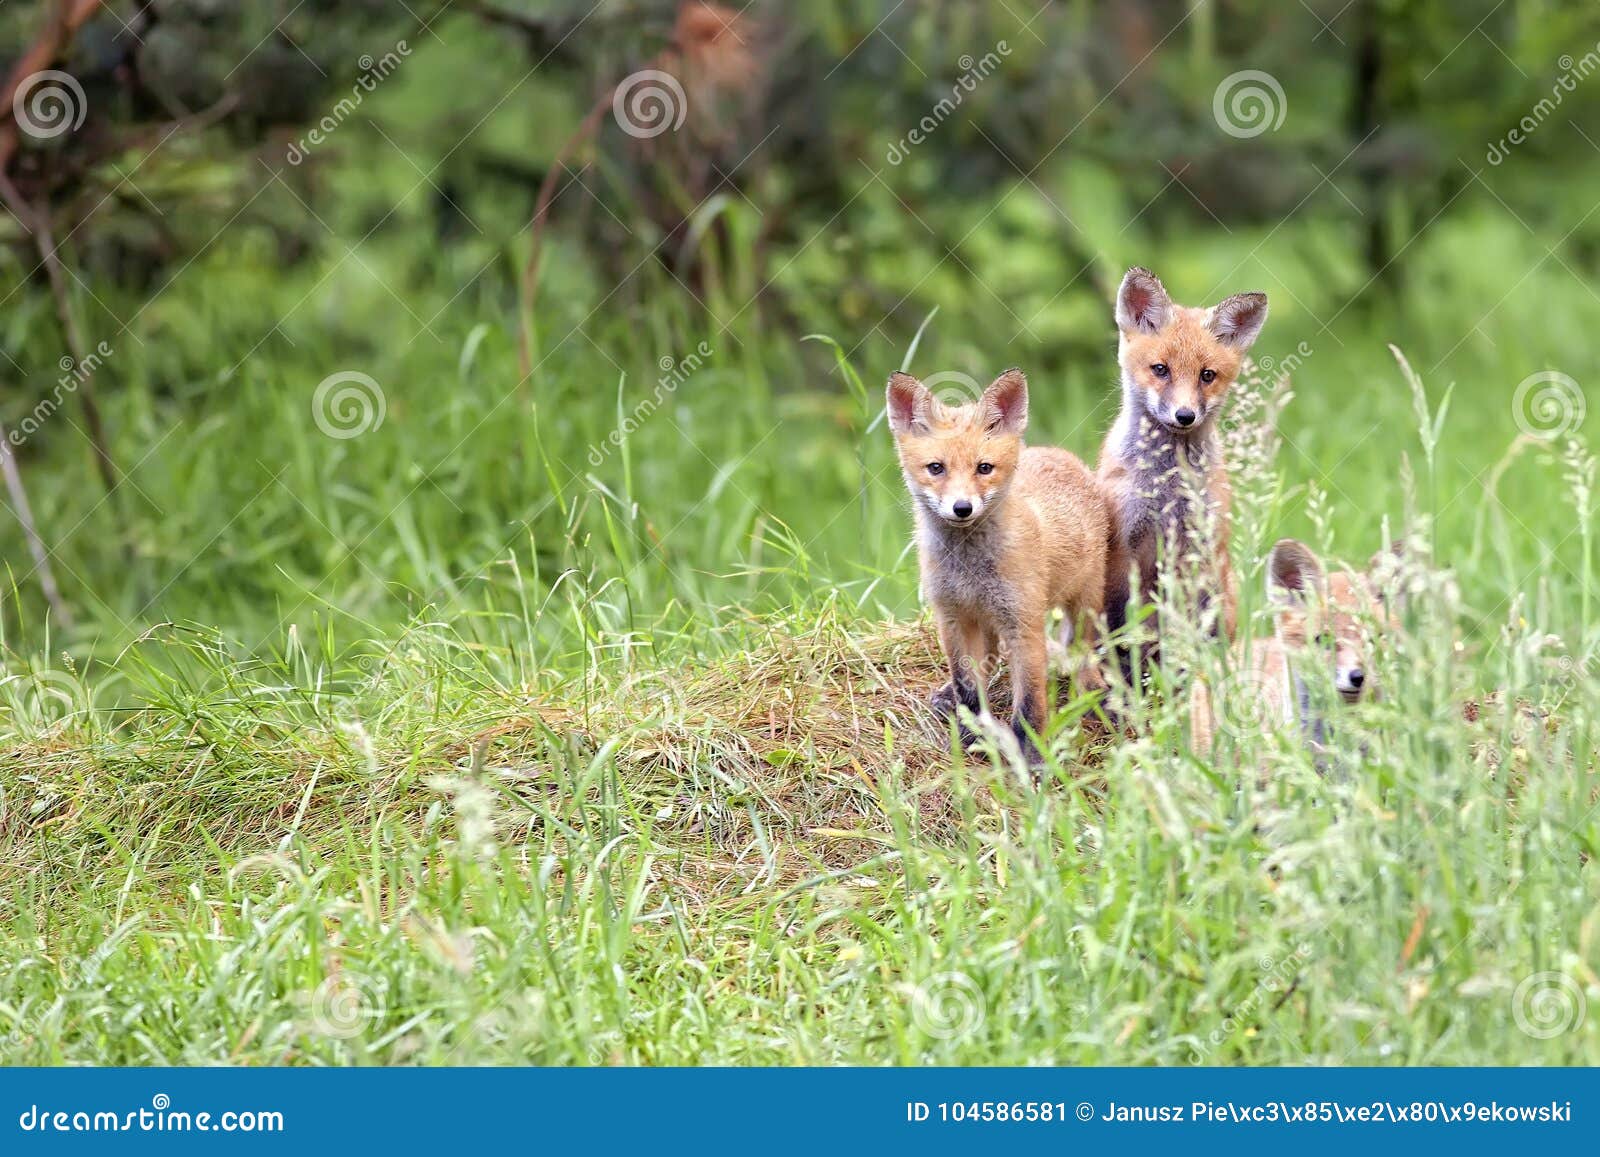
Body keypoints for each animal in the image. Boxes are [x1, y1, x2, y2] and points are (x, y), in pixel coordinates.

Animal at [886, 368, 1110, 766]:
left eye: (984, 468)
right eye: (936, 468)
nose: (962, 508)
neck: (969, 570)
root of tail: (1058, 452)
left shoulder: (1024, 624)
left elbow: (1031, 701)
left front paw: (1032, 757)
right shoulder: (952, 617)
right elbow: (968, 687)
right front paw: (972, 735)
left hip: (1084, 598)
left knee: (1083, 651)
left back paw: (1092, 690)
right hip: (986, 617)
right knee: (988, 658)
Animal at [1098, 267, 1269, 651]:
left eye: (1207, 375)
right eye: (1161, 369)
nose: (1185, 415)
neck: (1168, 485)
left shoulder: (1199, 548)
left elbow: (1198, 628)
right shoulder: (1123, 549)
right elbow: (1121, 625)